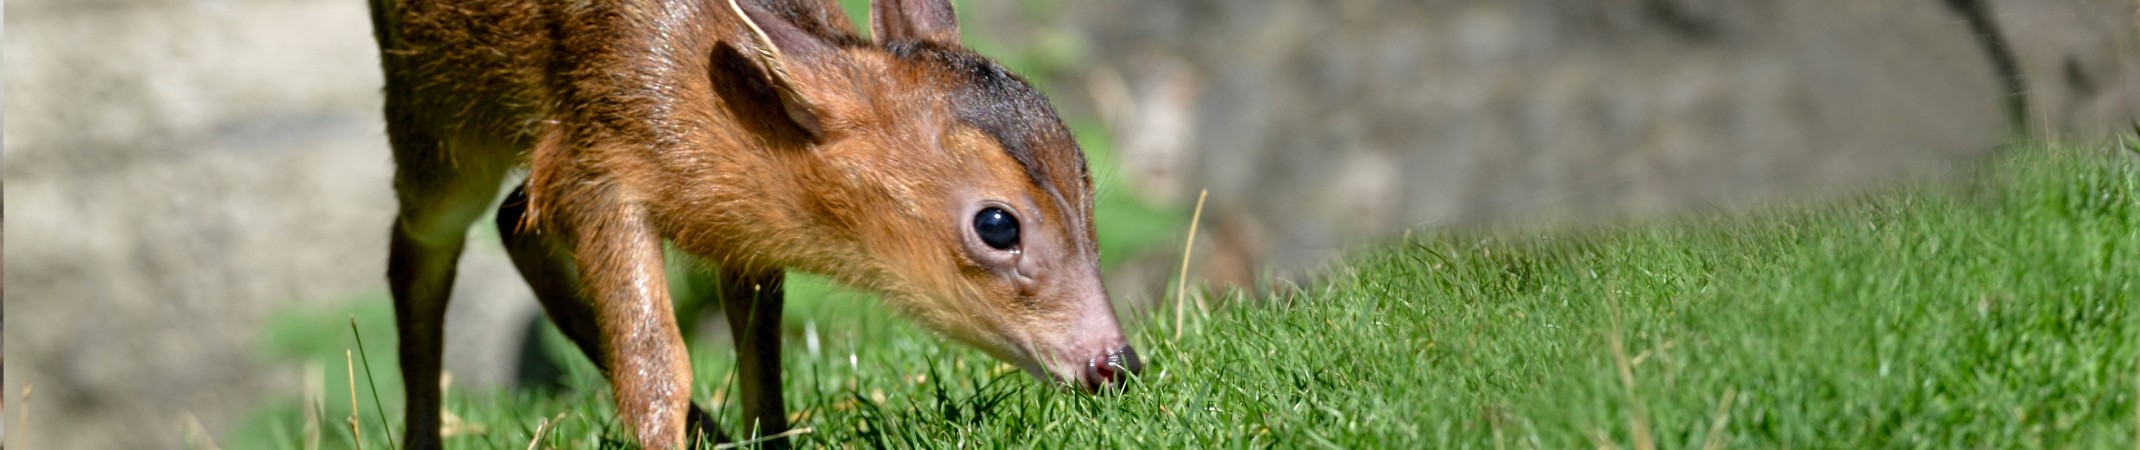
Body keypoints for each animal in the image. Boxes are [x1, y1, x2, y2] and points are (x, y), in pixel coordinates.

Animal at [364, 0, 1143, 448]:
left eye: (1086, 180)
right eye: (998, 225)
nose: (1118, 364)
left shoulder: (745, 232)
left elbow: (760, 354)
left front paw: (763, 440)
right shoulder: (601, 164)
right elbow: (654, 367)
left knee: (511, 219)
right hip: (433, 109)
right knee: (419, 246)